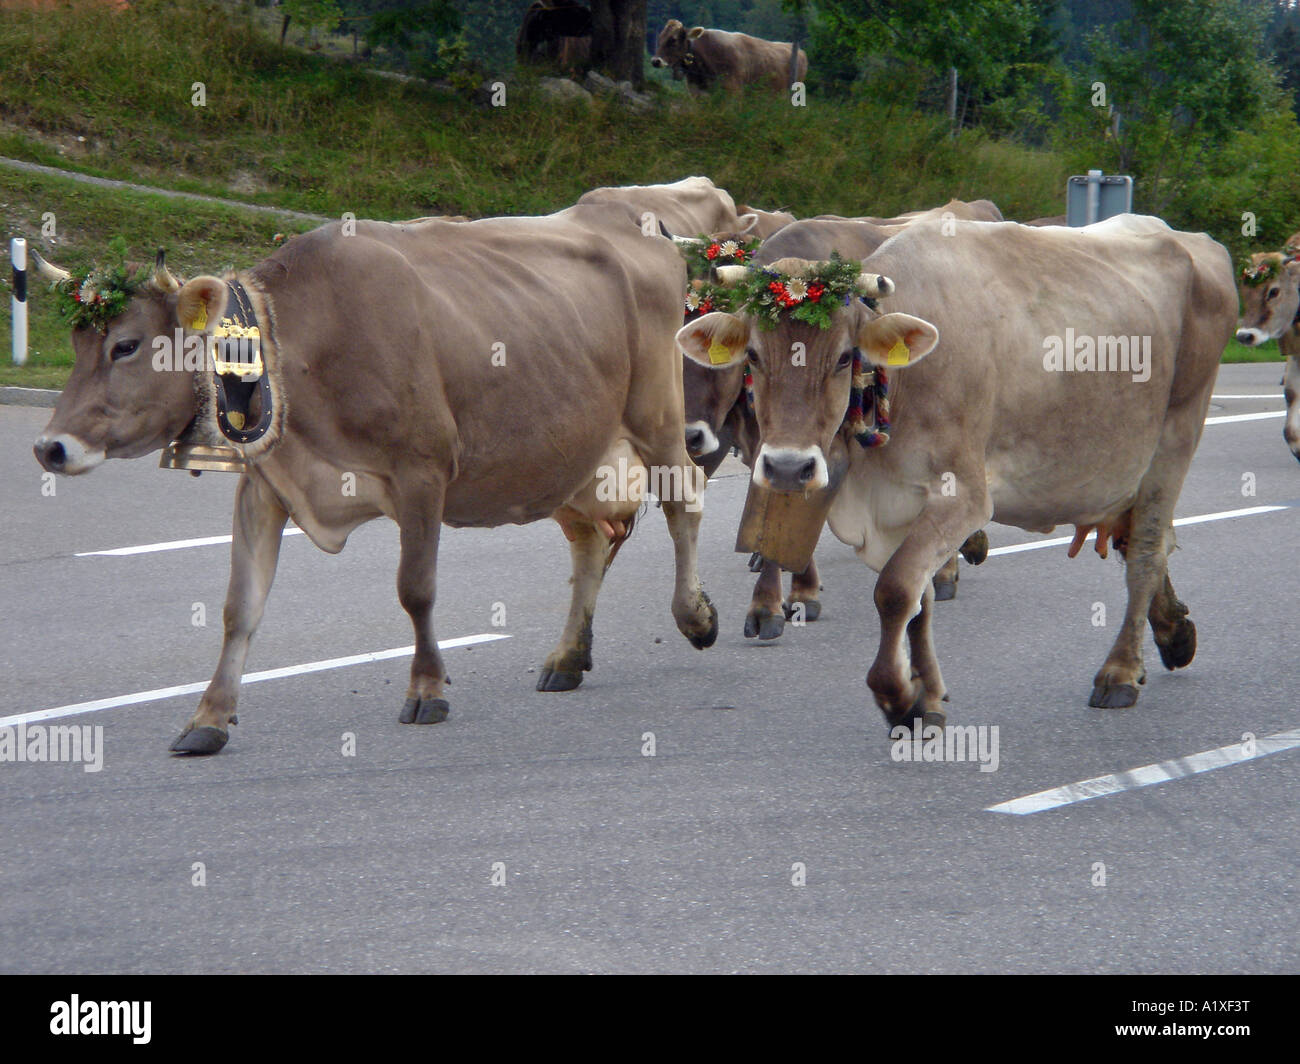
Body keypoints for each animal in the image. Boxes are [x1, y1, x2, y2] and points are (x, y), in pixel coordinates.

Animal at [30, 204, 719, 755]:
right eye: (76, 343)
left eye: (126, 345)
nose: (48, 446)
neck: (305, 341)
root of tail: (629, 221)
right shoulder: (266, 486)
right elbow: (239, 608)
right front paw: (208, 718)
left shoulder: (423, 470)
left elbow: (416, 590)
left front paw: (427, 690)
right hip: (565, 455)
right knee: (591, 540)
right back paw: (568, 658)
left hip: (656, 418)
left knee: (684, 498)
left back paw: (695, 617)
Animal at [677, 213, 1236, 730]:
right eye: (752, 355)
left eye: (843, 358)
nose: (789, 467)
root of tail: (1191, 239)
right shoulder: (898, 504)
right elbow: (916, 599)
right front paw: (925, 696)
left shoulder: (964, 495)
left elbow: (894, 590)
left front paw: (897, 697)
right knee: (1140, 539)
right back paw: (1174, 633)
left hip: (1175, 435)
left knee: (1146, 549)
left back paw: (1119, 672)